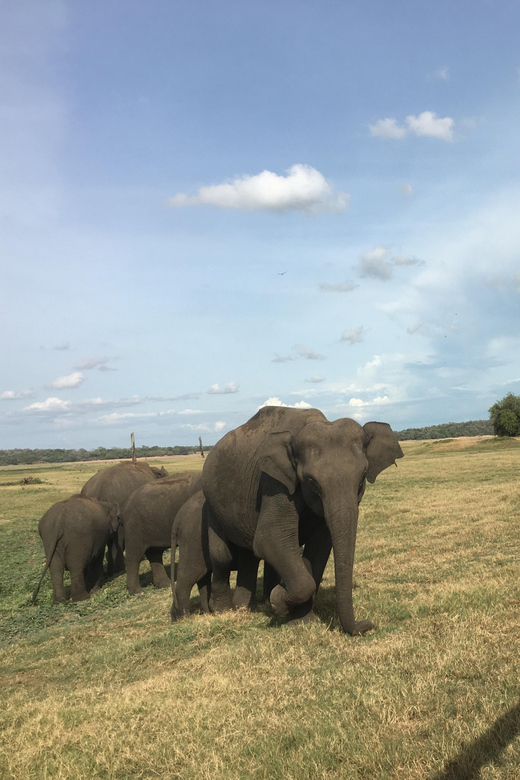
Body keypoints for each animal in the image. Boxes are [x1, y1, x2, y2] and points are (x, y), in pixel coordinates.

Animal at [202, 405, 403, 635]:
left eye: (362, 478)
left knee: (248, 555)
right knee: (222, 555)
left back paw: (244, 608)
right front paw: (278, 603)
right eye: (312, 482)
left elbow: (319, 547)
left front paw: (301, 620)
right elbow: (270, 537)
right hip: (211, 502)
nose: (367, 624)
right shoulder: (274, 482)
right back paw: (223, 610)